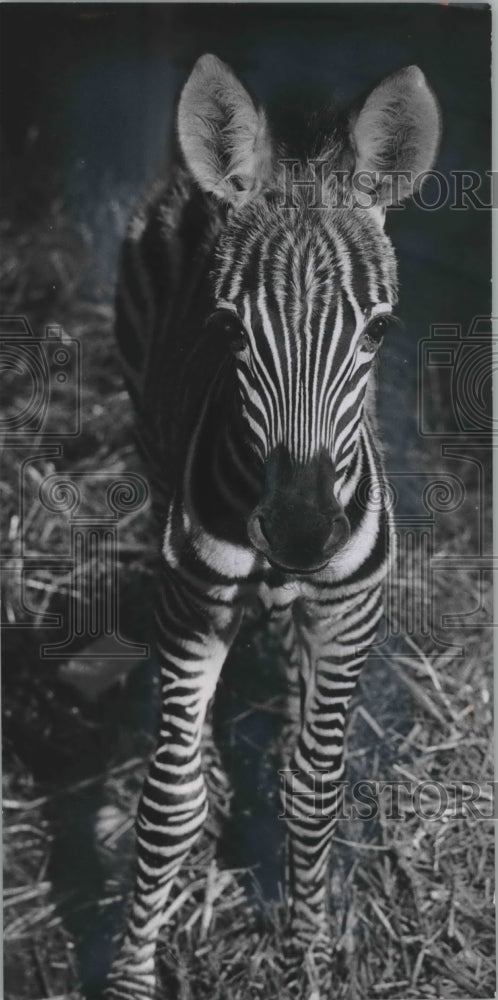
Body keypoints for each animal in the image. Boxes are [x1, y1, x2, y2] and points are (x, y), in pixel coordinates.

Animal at [105, 54, 440, 999]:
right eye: (228, 330)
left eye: (378, 331)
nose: (298, 533)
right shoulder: (193, 604)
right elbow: (167, 806)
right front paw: (129, 977)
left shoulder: (351, 609)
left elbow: (314, 794)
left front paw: (309, 960)